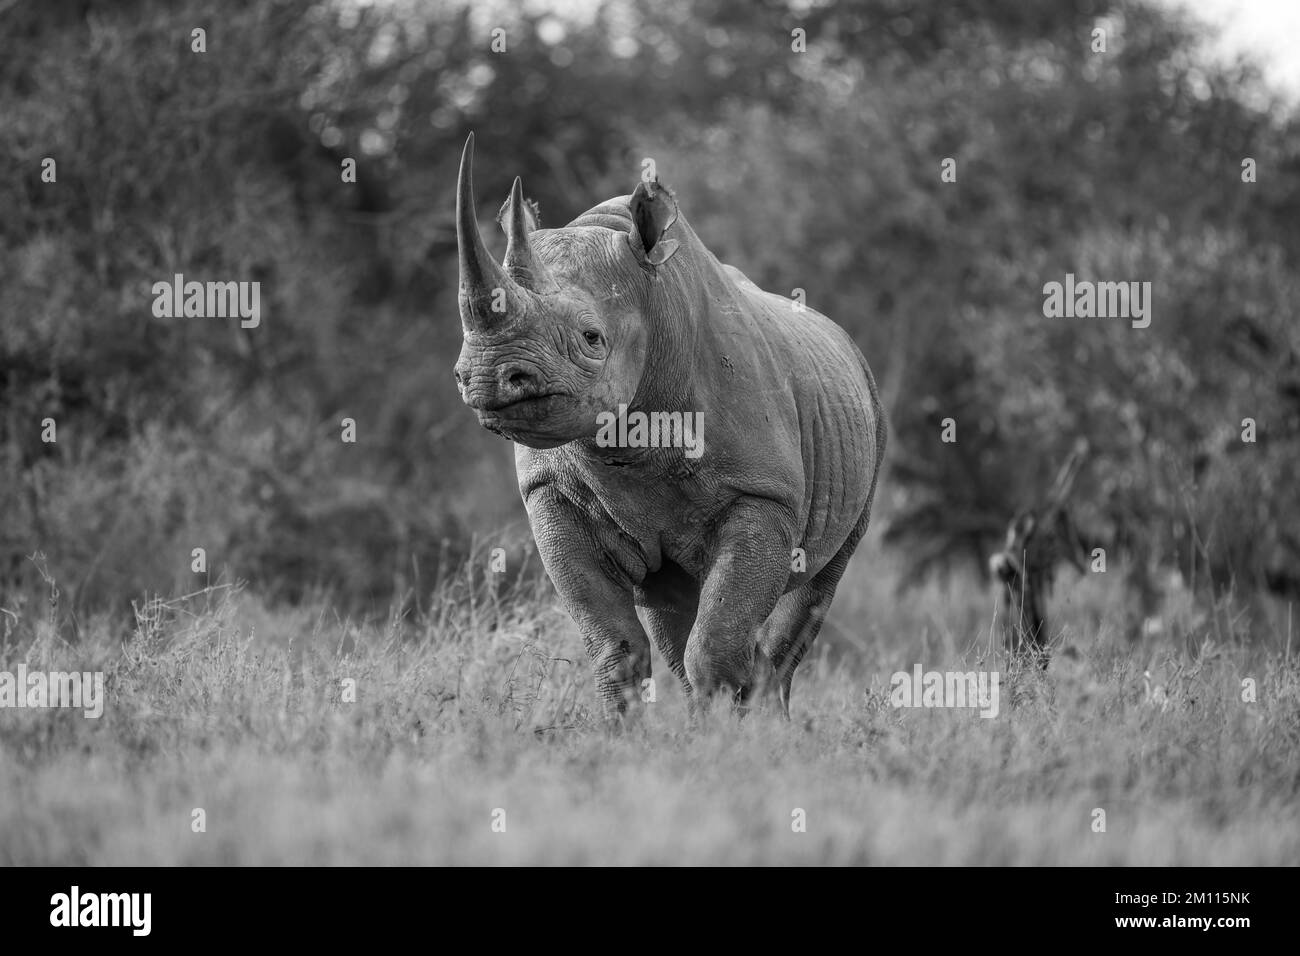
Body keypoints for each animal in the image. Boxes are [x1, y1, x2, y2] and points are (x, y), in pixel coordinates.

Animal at [453, 134, 886, 717]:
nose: (486, 376)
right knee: (672, 612)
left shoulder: (763, 493)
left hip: (868, 415)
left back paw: (768, 721)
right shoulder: (552, 492)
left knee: (811, 593)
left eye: (591, 337)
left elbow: (717, 642)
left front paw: (721, 736)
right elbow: (615, 644)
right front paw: (625, 733)